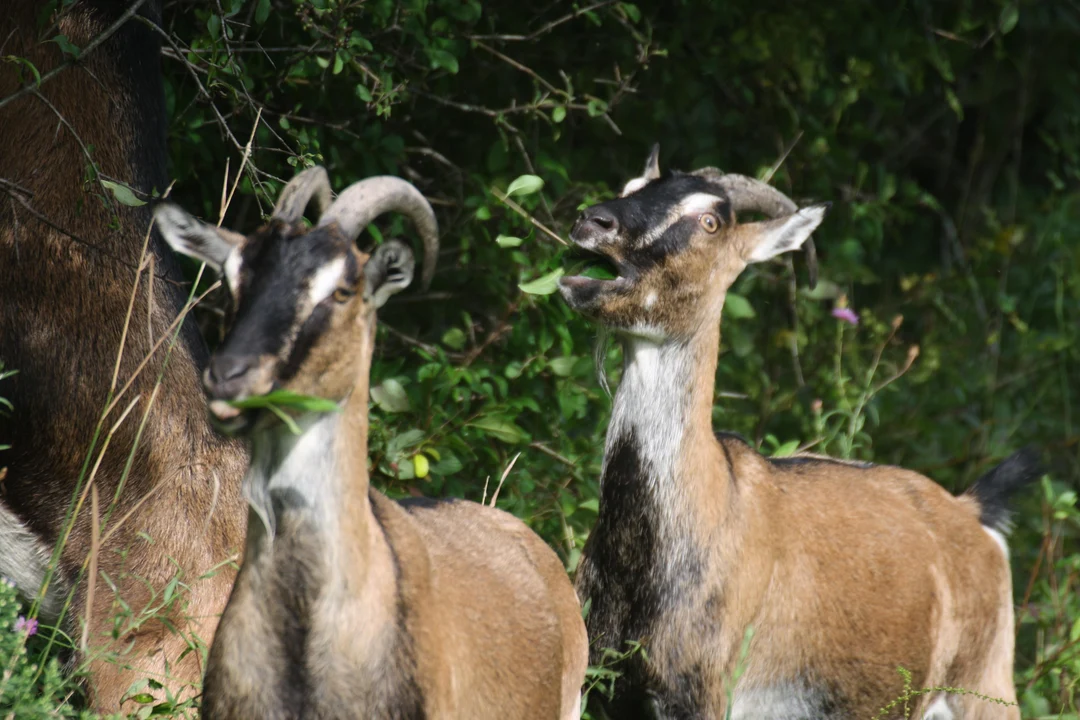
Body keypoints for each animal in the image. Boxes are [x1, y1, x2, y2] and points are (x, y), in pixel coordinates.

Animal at [558, 145, 1039, 719]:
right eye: (630, 186)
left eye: (711, 221)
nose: (593, 221)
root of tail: (973, 510)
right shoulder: (600, 685)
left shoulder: (701, 694)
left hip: (986, 686)